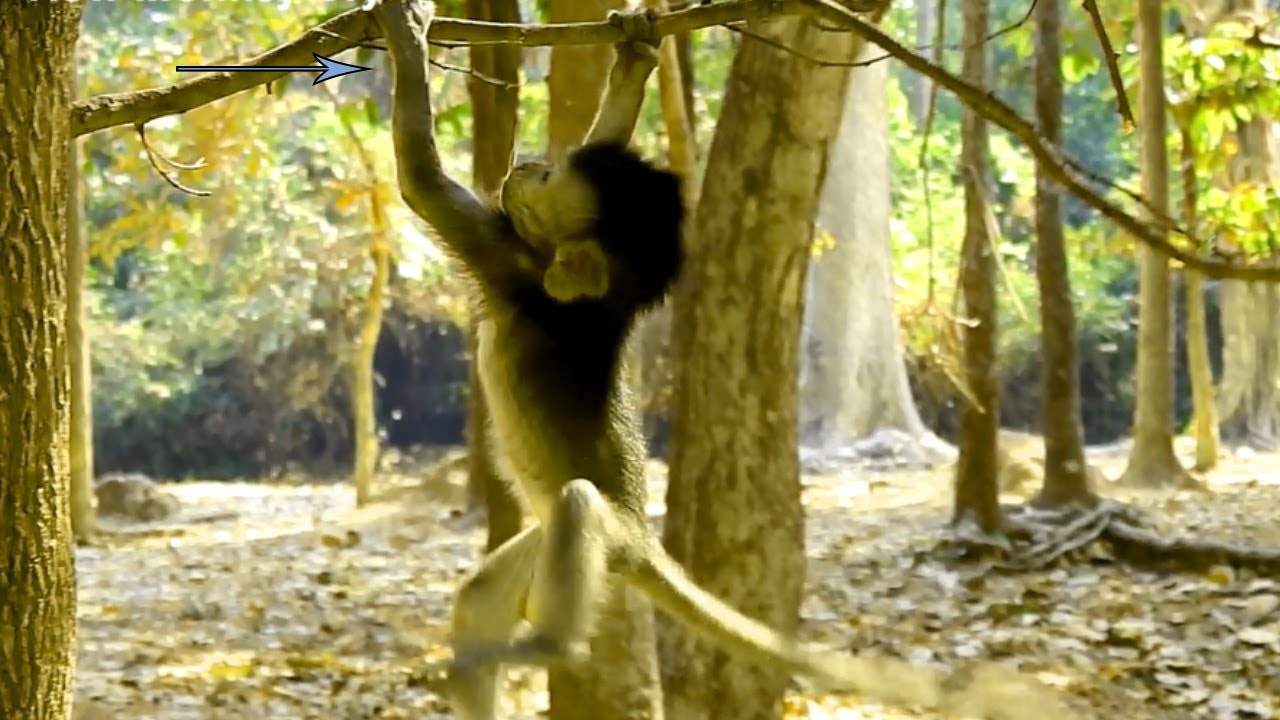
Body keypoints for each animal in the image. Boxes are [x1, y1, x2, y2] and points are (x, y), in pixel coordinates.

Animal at [370, 2, 1078, 719]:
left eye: (543, 185)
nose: (522, 169)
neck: (591, 298)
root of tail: (640, 536)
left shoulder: (506, 261)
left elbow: (419, 177)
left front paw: (407, 35)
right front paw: (636, 54)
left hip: (602, 538)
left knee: (576, 506)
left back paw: (552, 647)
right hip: (572, 550)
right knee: (482, 598)